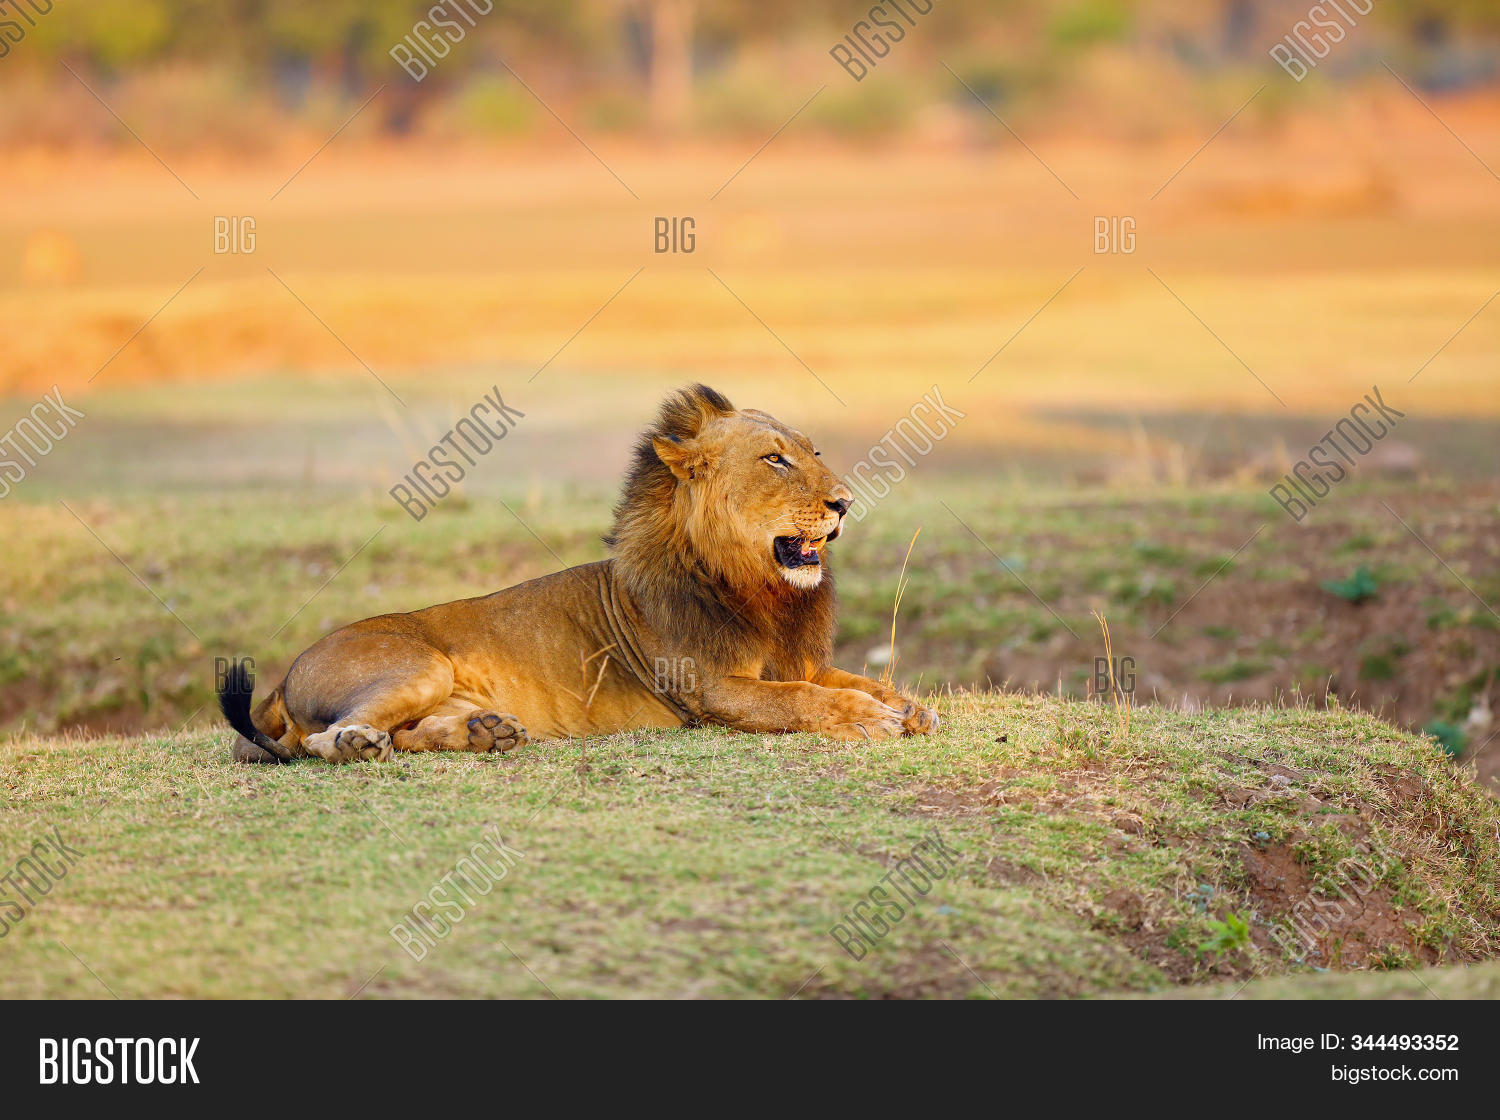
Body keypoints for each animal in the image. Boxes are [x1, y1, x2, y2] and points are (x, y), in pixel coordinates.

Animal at [219, 384, 939, 764]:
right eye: (775, 459)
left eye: (813, 452)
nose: (845, 502)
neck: (759, 587)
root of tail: (283, 680)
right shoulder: (711, 690)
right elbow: (801, 699)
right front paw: (869, 718)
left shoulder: (797, 659)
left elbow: (854, 679)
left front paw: (908, 706)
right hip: (417, 667)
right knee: (326, 739)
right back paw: (360, 743)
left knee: (409, 735)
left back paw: (486, 732)